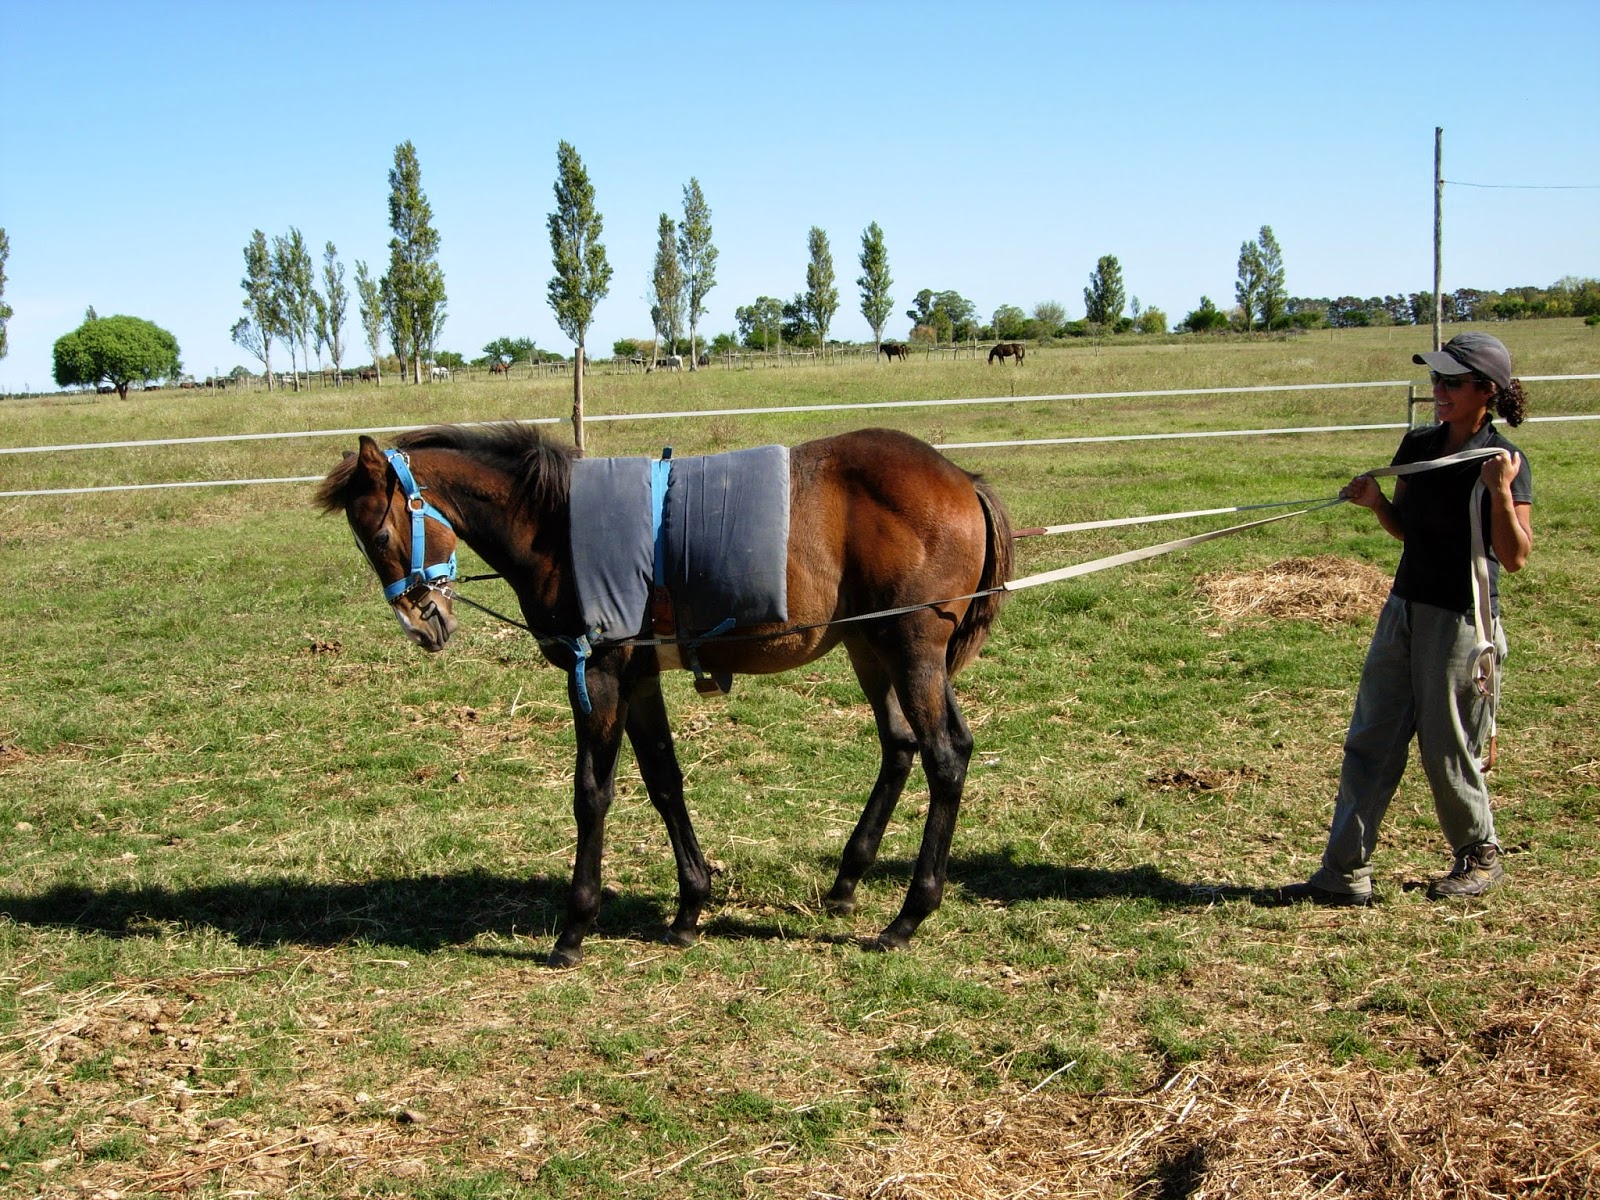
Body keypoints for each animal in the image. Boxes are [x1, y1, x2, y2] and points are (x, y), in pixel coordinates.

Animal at [315, 424, 1013, 966]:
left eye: (380, 538)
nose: (422, 625)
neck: (557, 528)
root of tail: (961, 478)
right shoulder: (640, 678)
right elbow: (664, 781)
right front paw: (689, 908)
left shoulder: (598, 674)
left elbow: (592, 794)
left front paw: (575, 927)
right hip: (876, 649)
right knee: (903, 746)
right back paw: (846, 882)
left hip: (910, 649)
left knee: (945, 757)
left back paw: (908, 916)